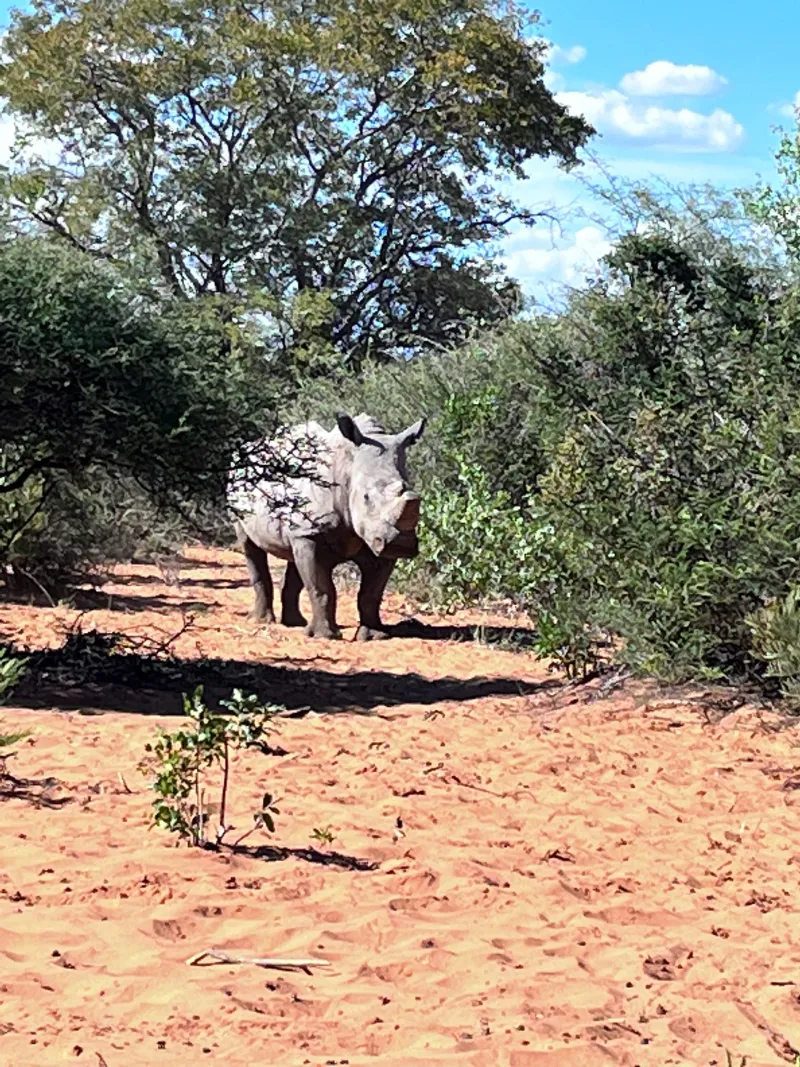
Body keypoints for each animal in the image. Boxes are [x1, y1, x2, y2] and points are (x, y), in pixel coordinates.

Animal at [230, 413, 425, 640]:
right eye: (366, 497)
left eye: (413, 494)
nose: (401, 545)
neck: (348, 465)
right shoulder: (312, 532)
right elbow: (322, 589)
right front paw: (324, 636)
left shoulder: (373, 539)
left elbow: (371, 593)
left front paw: (374, 636)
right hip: (238, 488)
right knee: (250, 546)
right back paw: (260, 621)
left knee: (293, 555)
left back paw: (295, 623)